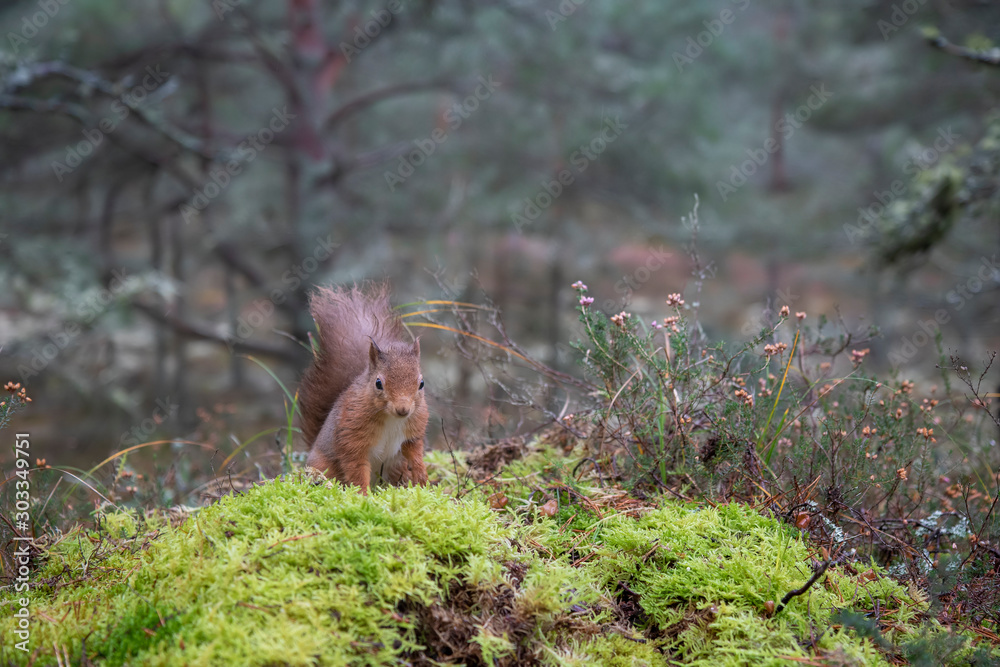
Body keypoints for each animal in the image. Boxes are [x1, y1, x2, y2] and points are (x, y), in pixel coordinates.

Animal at [298, 283, 428, 493]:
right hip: (323, 465)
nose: (403, 410)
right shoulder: (352, 437)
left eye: (421, 384)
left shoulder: (414, 430)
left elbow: (415, 451)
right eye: (378, 383)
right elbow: (356, 468)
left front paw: (422, 477)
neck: (392, 419)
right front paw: (362, 495)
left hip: (396, 466)